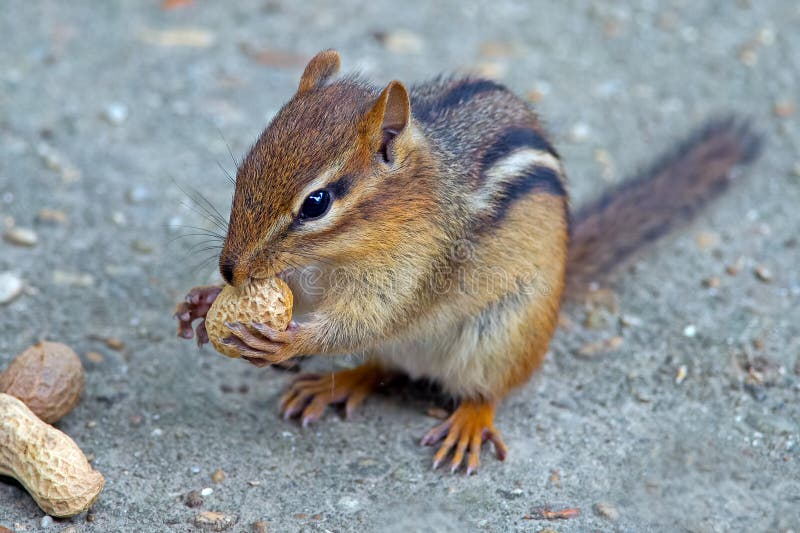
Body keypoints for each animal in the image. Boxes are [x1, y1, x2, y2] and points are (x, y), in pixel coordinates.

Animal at [174, 50, 761, 474]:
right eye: (242, 171)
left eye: (316, 203)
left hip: (504, 333)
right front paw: (202, 303)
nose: (229, 270)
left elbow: (367, 320)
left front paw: (286, 343)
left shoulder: (414, 272)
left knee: (484, 388)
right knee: (383, 365)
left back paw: (469, 421)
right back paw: (338, 382)